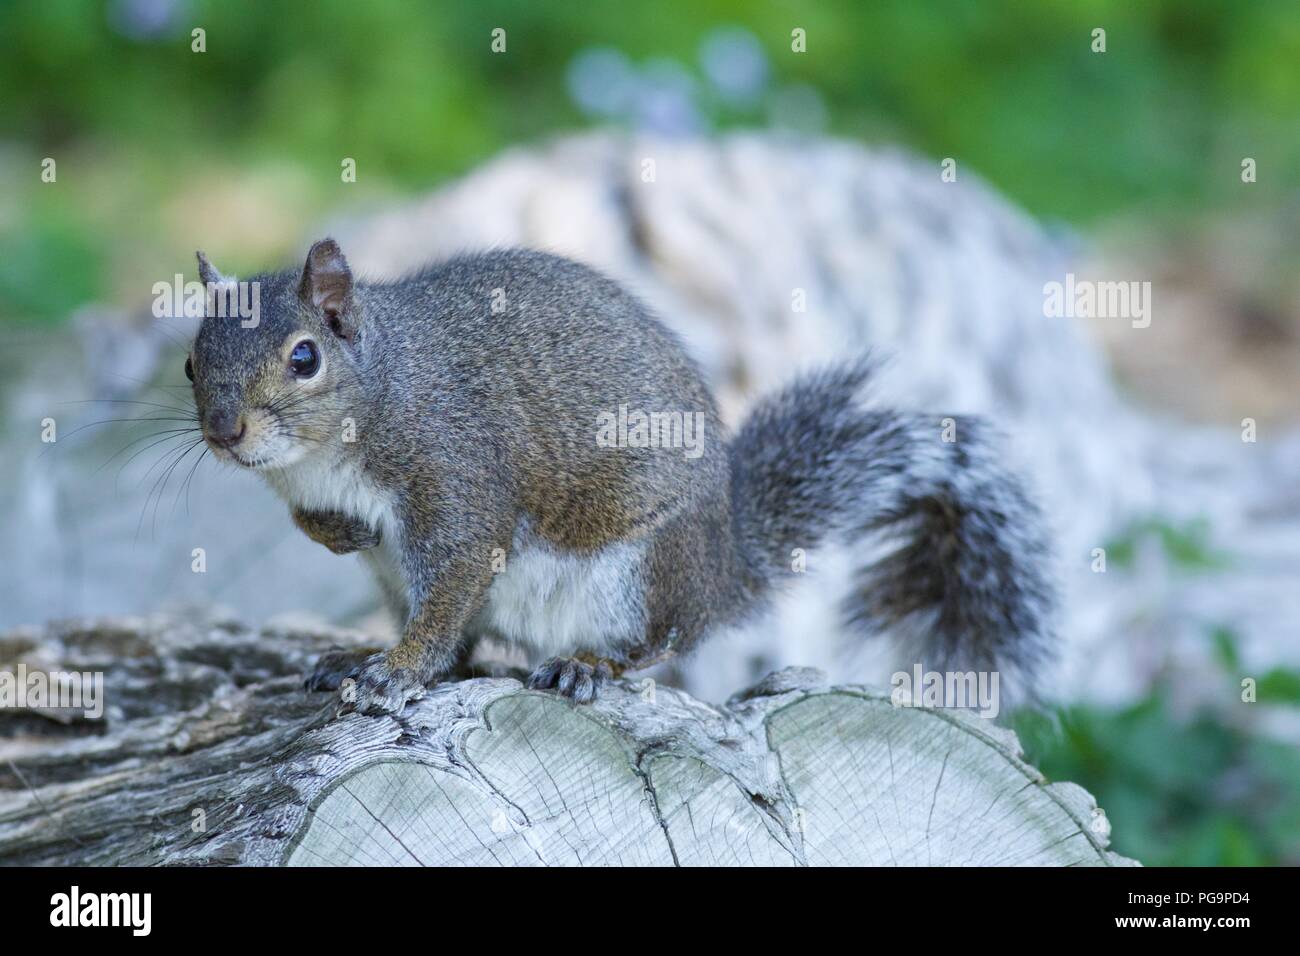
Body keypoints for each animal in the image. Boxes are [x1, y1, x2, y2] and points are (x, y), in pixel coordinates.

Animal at [187, 239, 1057, 714]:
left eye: (305, 357)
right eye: (193, 361)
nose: (224, 433)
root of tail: (723, 567)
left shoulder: (455, 473)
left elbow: (461, 567)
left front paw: (396, 674)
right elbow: (317, 524)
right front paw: (338, 535)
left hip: (639, 570)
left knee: (659, 639)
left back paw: (588, 664)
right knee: (467, 646)